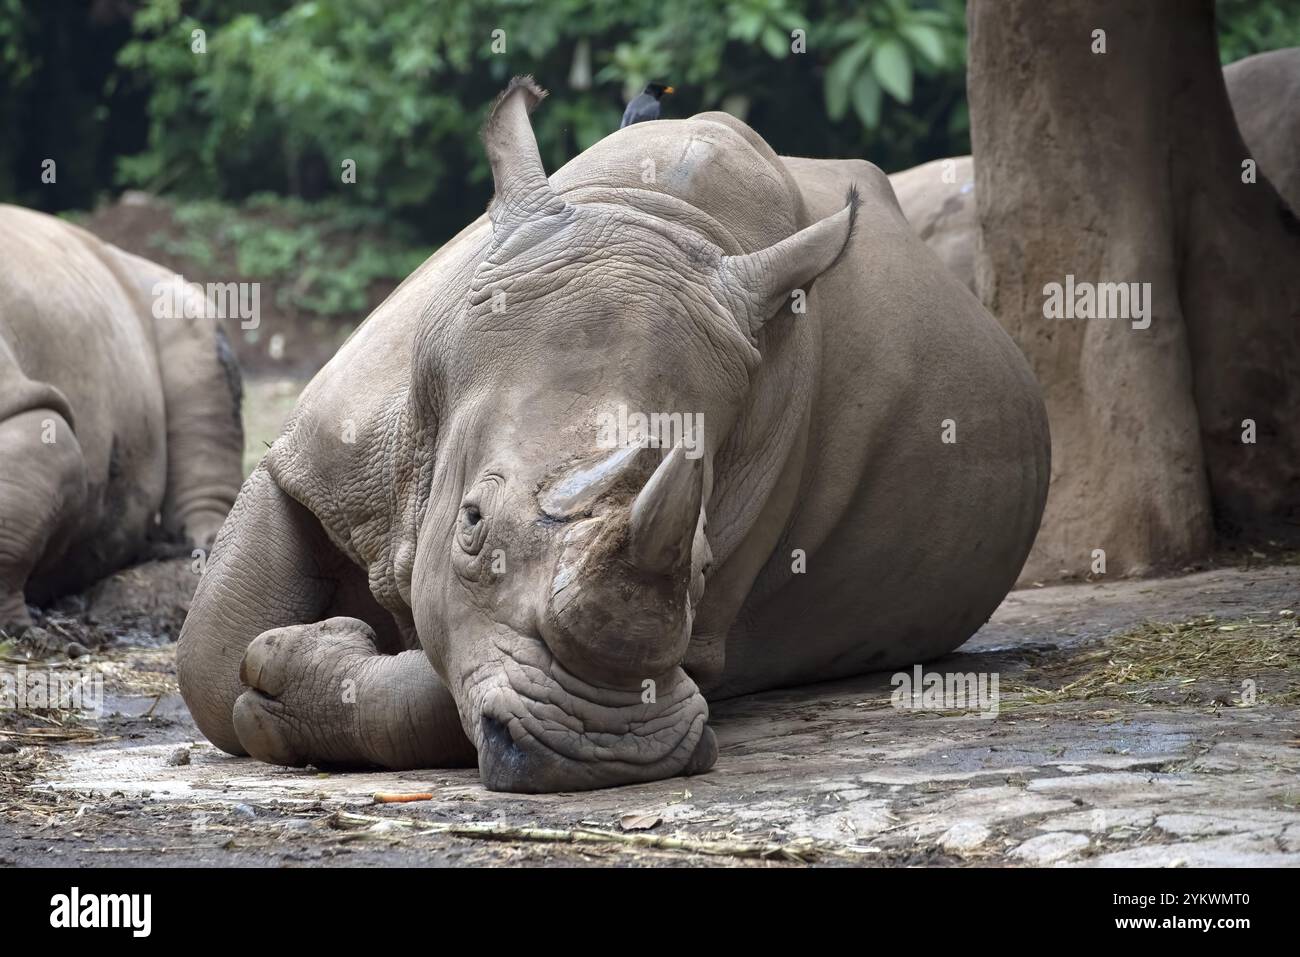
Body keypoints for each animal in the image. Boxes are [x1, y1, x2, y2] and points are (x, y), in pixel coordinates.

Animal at [177, 78, 1049, 793]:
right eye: (472, 524)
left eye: (704, 565)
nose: (604, 752)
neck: (648, 216)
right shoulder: (318, 454)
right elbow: (210, 661)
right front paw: (283, 674)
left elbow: (444, 685)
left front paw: (303, 668)